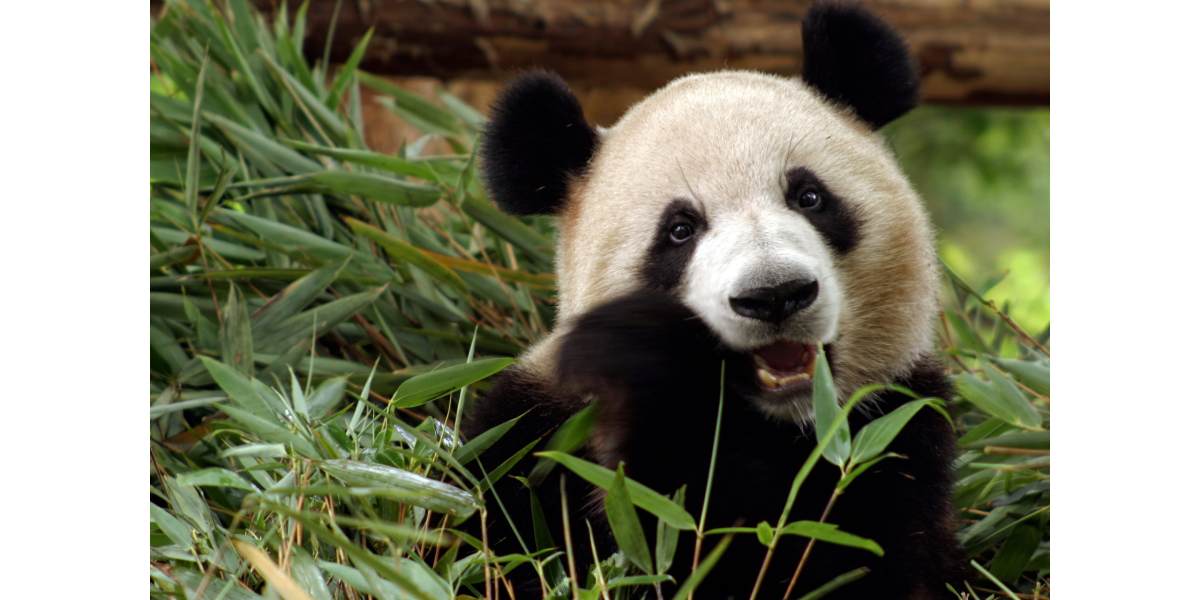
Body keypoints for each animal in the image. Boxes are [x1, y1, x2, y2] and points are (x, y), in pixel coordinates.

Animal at [462, 2, 962, 598]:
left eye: (809, 197)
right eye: (680, 230)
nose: (774, 295)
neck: (779, 425)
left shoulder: (894, 430)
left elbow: (841, 557)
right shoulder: (532, 439)